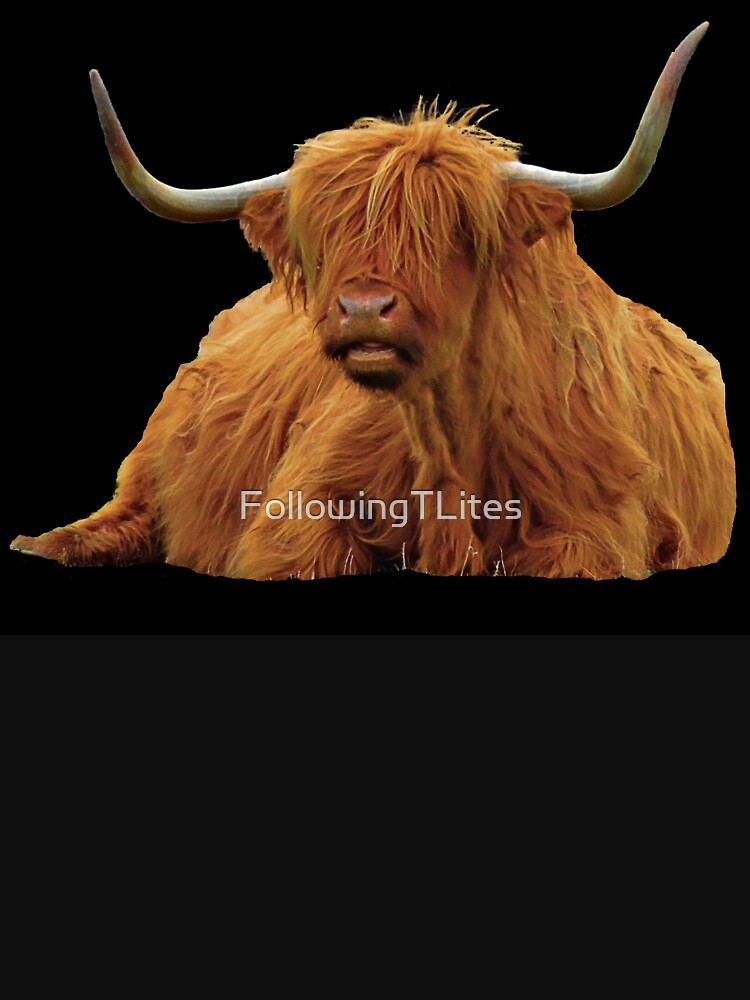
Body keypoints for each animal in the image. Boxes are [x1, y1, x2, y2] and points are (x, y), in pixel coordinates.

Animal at [10, 22, 735, 581]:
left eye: (456, 230)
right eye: (325, 237)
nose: (362, 309)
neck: (450, 446)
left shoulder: (598, 522)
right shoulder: (297, 505)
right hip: (154, 450)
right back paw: (45, 545)